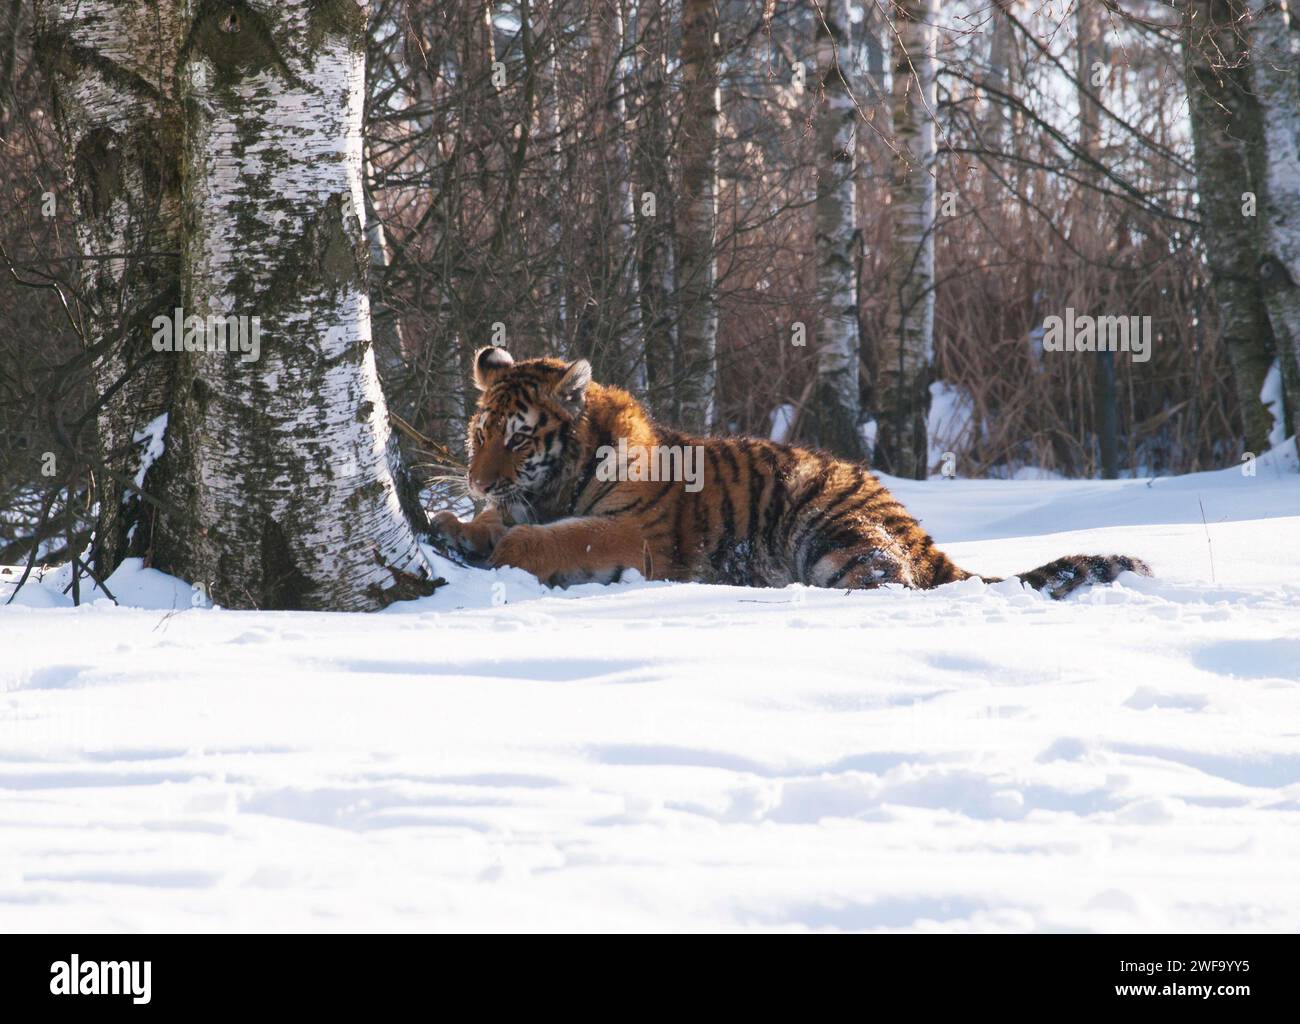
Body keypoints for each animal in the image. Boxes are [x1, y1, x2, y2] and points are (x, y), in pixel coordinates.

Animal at [430, 345, 1152, 598]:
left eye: (520, 439)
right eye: (480, 434)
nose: (477, 480)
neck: (555, 483)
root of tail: (923, 535)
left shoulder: (634, 532)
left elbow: (560, 538)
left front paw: (507, 550)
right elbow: (492, 521)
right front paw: (453, 525)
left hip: (833, 529)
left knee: (893, 589)